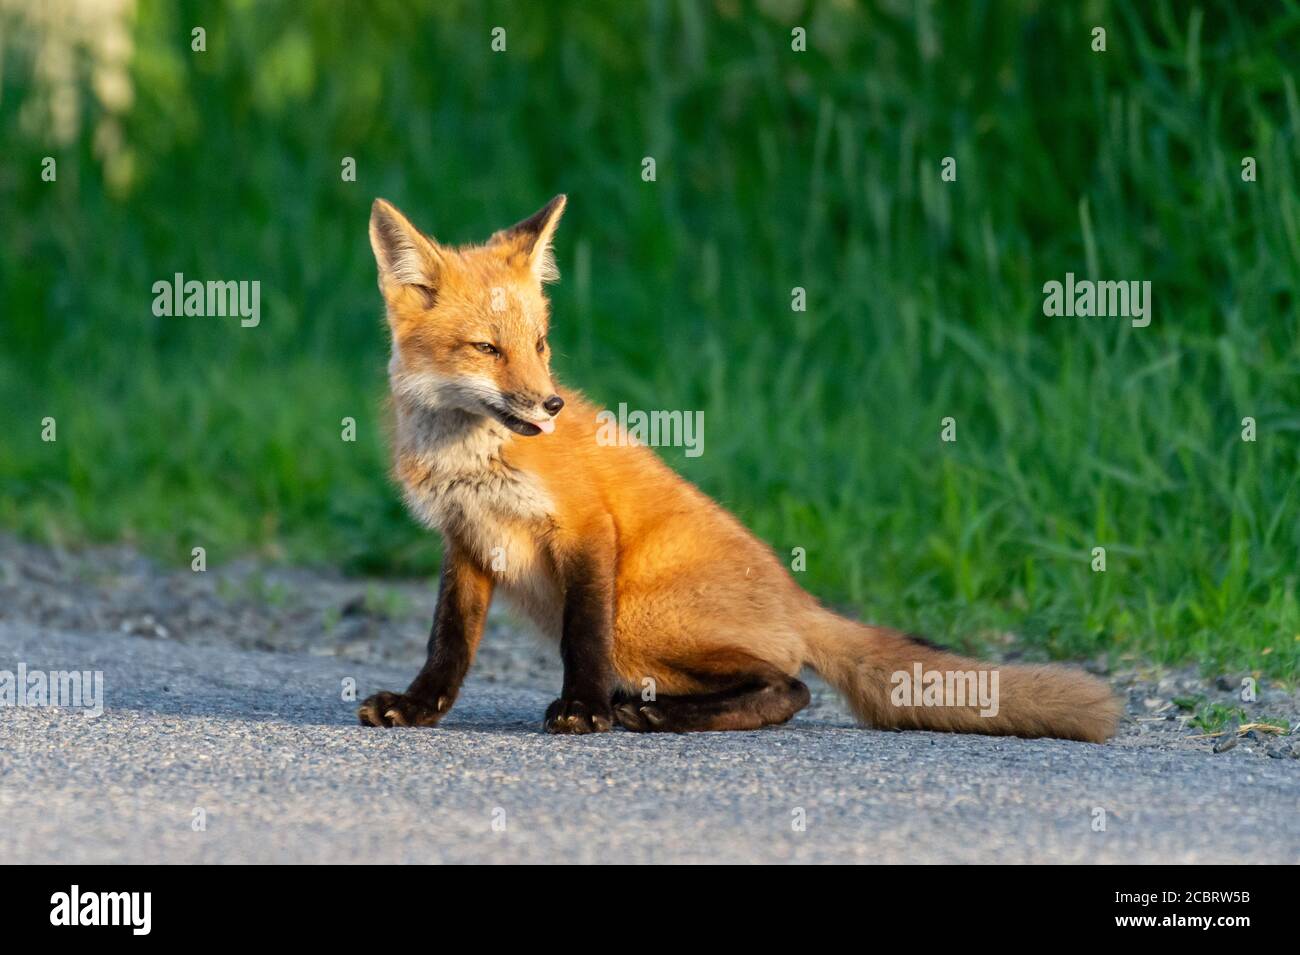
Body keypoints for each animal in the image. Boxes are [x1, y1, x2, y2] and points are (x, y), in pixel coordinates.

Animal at [358, 195, 1122, 742]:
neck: (469, 456)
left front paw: (582, 709)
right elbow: (449, 643)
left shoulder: (586, 528)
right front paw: (419, 706)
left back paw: (656, 713)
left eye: (541, 344)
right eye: (487, 348)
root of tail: (797, 595)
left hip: (638, 620)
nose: (550, 404)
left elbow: (581, 640)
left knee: (793, 684)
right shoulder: (466, 540)